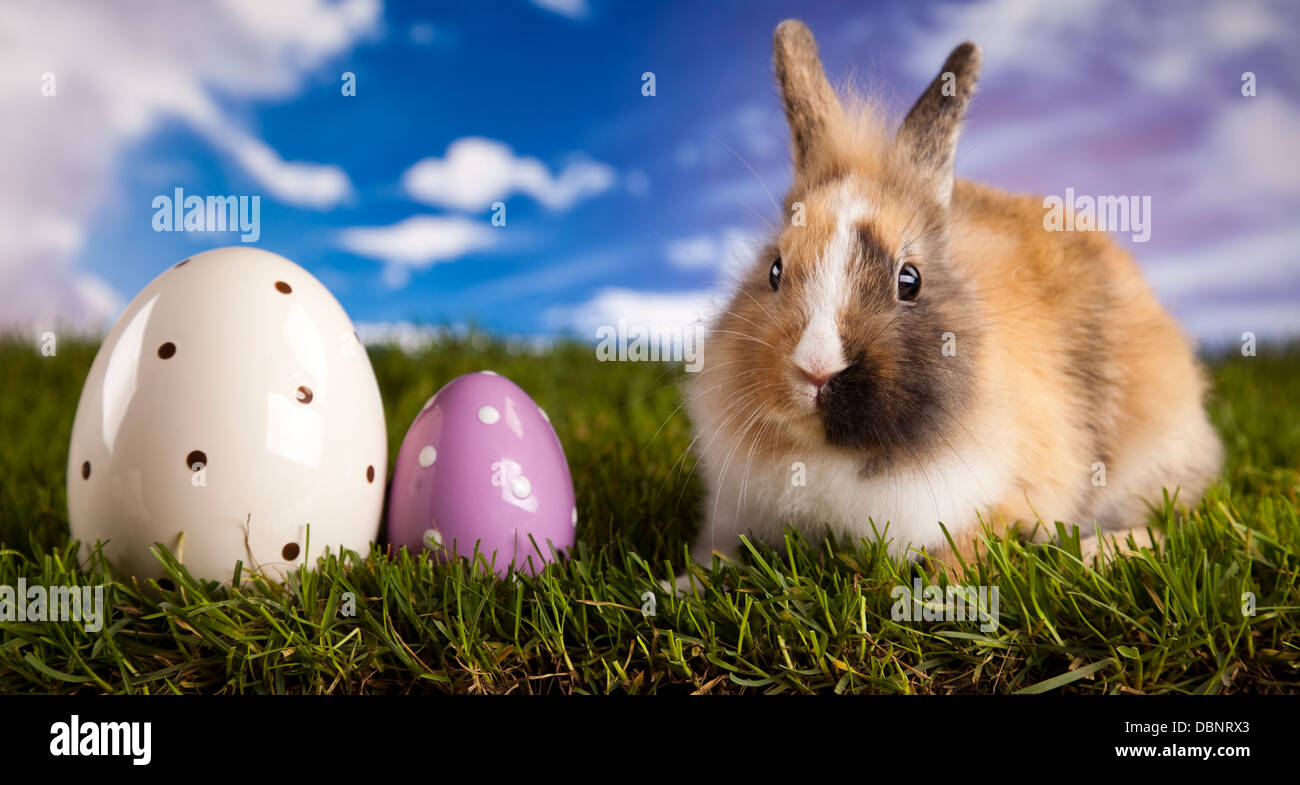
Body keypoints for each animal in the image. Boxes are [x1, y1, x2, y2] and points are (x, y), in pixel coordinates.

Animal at [677, 20, 1222, 584]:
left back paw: (1103, 551)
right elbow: (718, 555)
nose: (817, 370)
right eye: (774, 270)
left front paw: (938, 591)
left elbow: (964, 552)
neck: (834, 452)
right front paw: (683, 584)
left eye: (910, 280)